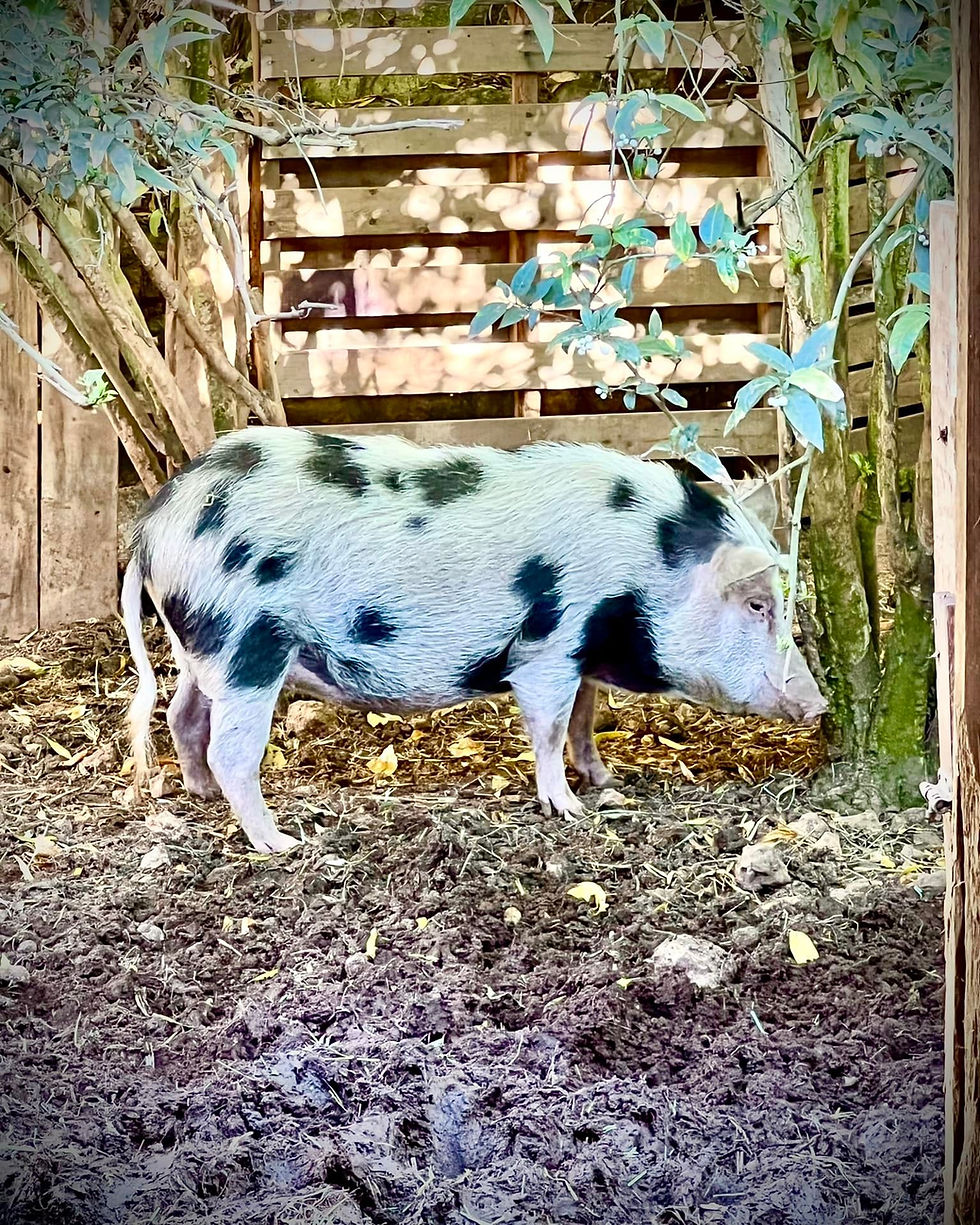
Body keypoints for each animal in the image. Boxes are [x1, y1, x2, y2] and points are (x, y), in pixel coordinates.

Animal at [121, 427, 826, 853]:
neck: (643, 571)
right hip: (248, 644)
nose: (817, 703)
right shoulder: (549, 645)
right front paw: (570, 811)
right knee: (230, 749)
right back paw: (281, 844)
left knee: (183, 713)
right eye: (758, 604)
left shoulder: (582, 653)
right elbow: (548, 726)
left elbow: (585, 717)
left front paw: (608, 783)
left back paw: (199, 794)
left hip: (203, 646)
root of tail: (154, 524)